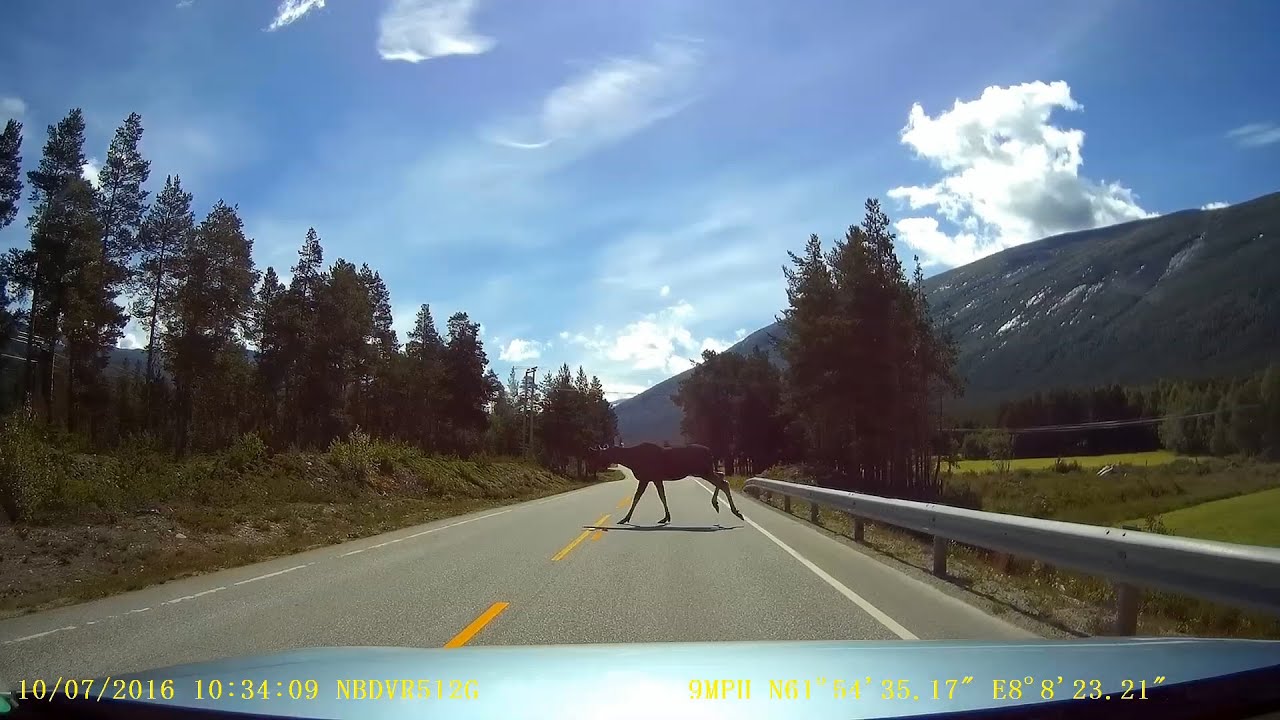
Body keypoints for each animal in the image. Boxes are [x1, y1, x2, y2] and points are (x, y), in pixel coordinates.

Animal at [586, 442, 745, 524]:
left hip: (703, 471)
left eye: (600, 454)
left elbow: (637, 497)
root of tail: (710, 452)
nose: (592, 466)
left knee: (723, 481)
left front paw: (625, 518)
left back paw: (730, 509)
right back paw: (725, 507)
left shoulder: (646, 478)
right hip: (705, 470)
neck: (631, 460)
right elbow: (662, 496)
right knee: (722, 477)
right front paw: (666, 517)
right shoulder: (656, 478)